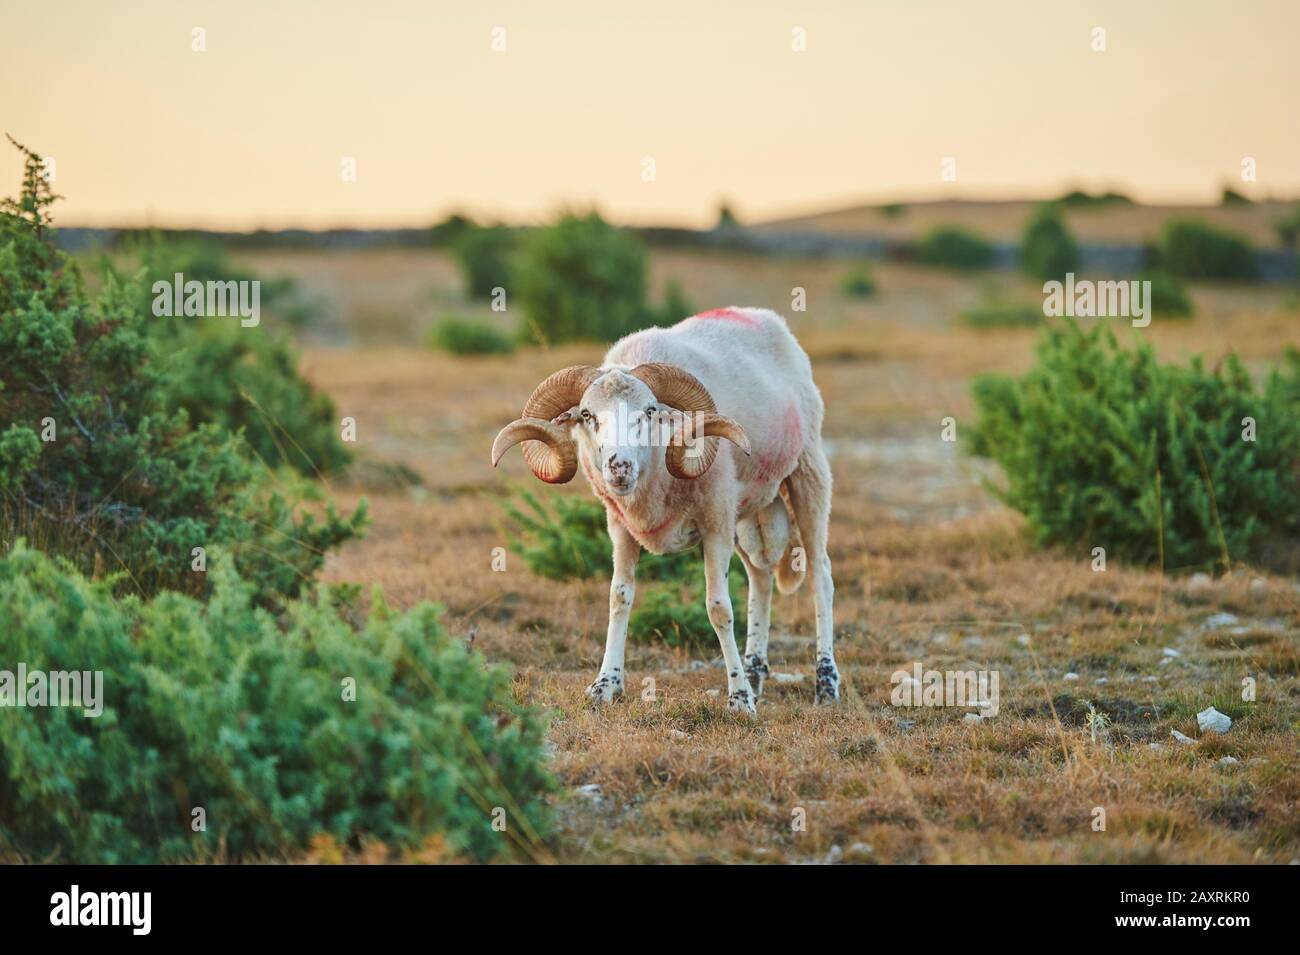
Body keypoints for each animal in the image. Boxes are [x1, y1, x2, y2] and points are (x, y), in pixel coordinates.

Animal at [491, 306, 839, 717]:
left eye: (650, 411)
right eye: (587, 415)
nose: (619, 466)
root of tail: (765, 318)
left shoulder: (715, 521)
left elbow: (719, 608)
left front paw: (739, 700)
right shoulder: (620, 527)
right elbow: (619, 597)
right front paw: (604, 686)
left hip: (807, 473)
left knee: (820, 576)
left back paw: (825, 685)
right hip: (749, 512)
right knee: (760, 577)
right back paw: (755, 674)